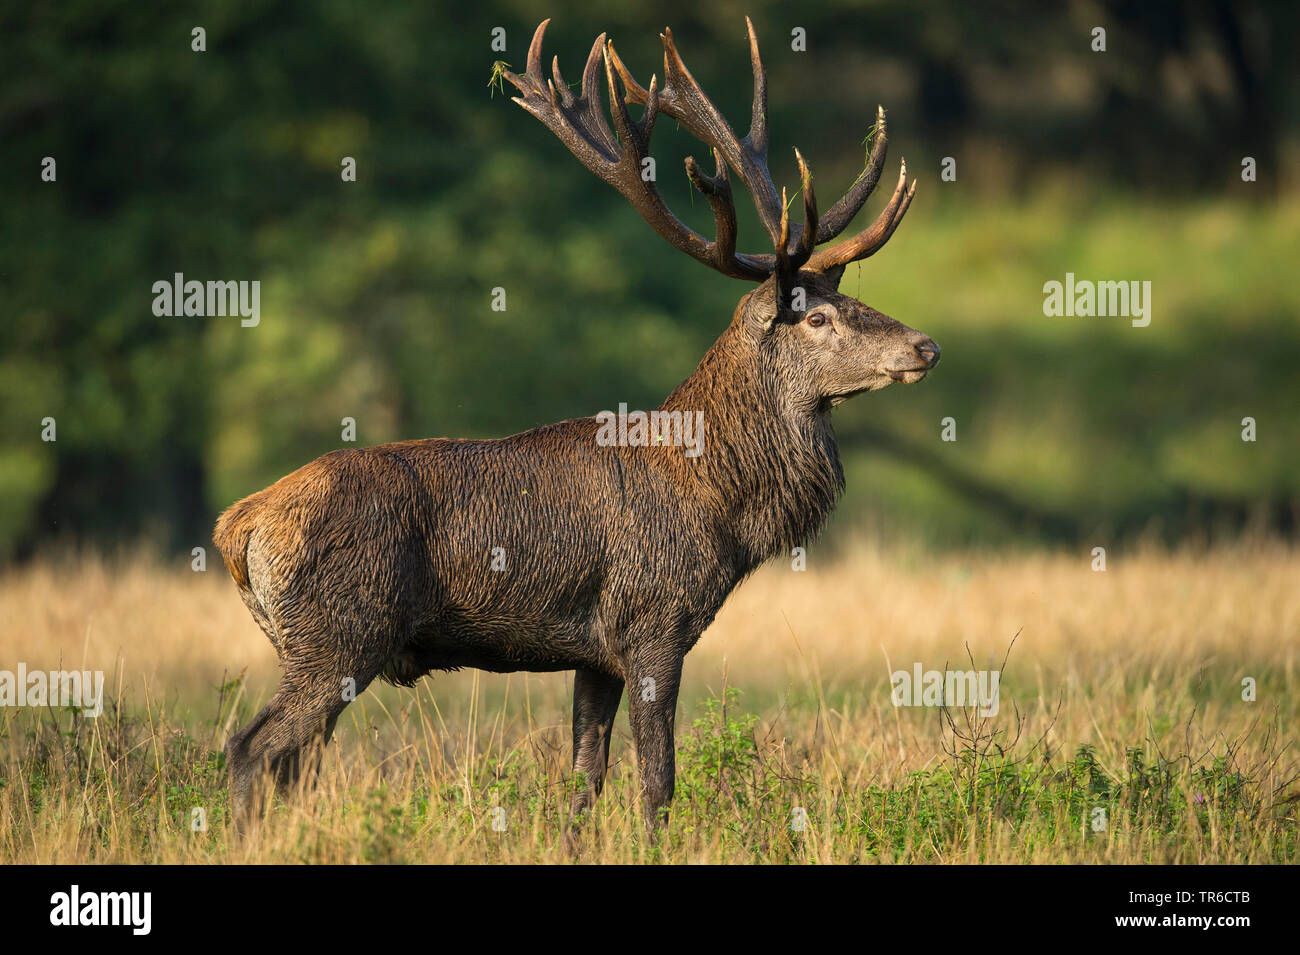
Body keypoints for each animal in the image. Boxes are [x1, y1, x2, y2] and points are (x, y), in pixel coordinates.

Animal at [214, 17, 938, 836]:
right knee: (251, 748)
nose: (925, 346)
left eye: (849, 298)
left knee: (292, 763)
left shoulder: (594, 653)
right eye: (814, 317)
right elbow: (656, 781)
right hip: (338, 634)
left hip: (317, 645)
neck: (720, 506)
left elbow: (585, 780)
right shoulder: (654, 620)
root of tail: (238, 528)